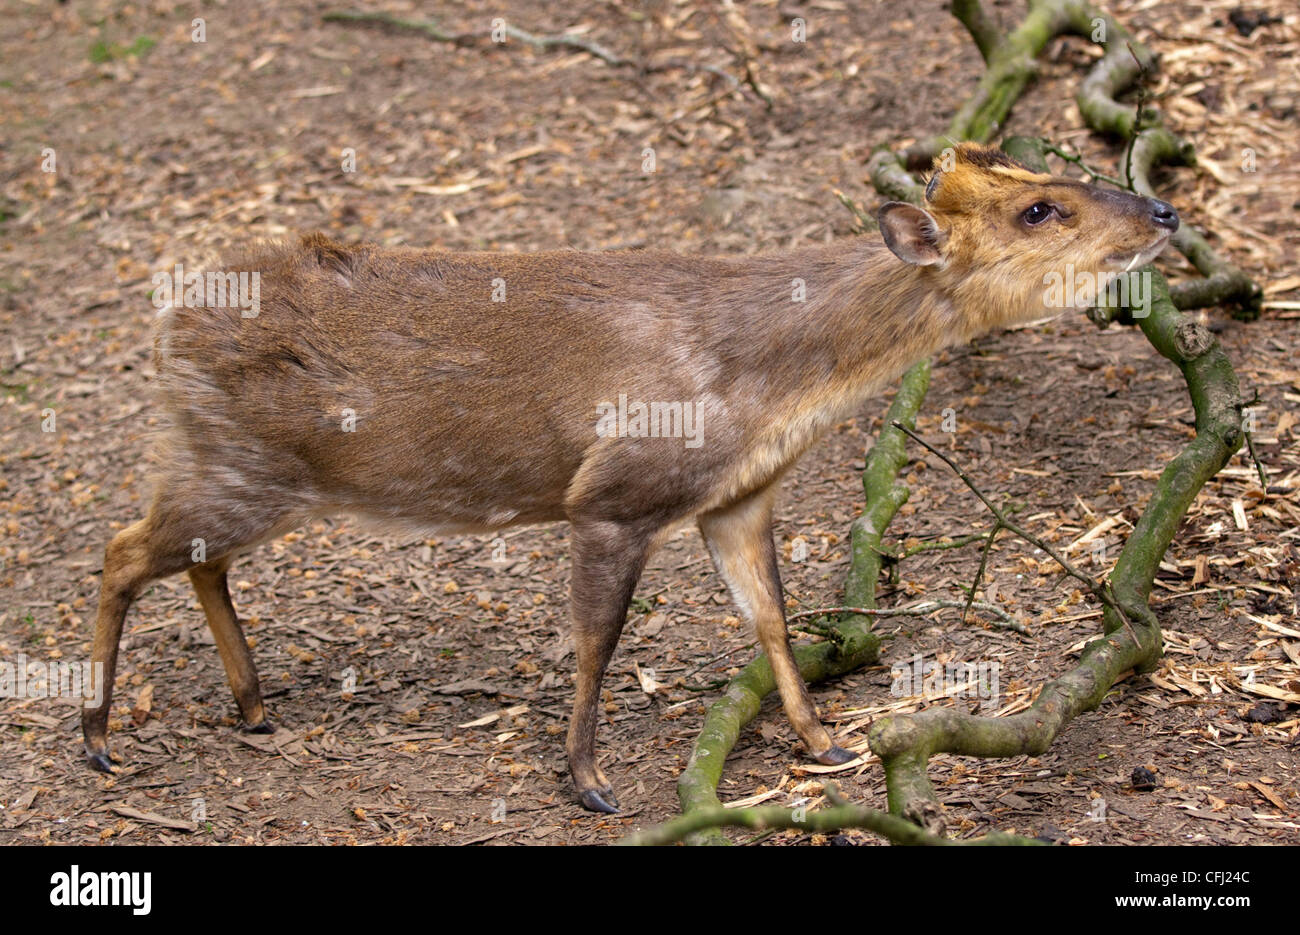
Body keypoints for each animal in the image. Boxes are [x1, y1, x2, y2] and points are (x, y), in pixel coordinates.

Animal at [83, 143, 1178, 813]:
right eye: (1040, 207)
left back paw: (253, 705)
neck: (766, 383)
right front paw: (589, 779)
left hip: (242, 476)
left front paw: (824, 739)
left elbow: (772, 618)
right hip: (237, 466)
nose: (1164, 206)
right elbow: (598, 640)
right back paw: (97, 734)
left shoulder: (734, 498)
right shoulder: (611, 494)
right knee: (122, 548)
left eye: (1054, 174)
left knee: (189, 558)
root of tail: (170, 324)